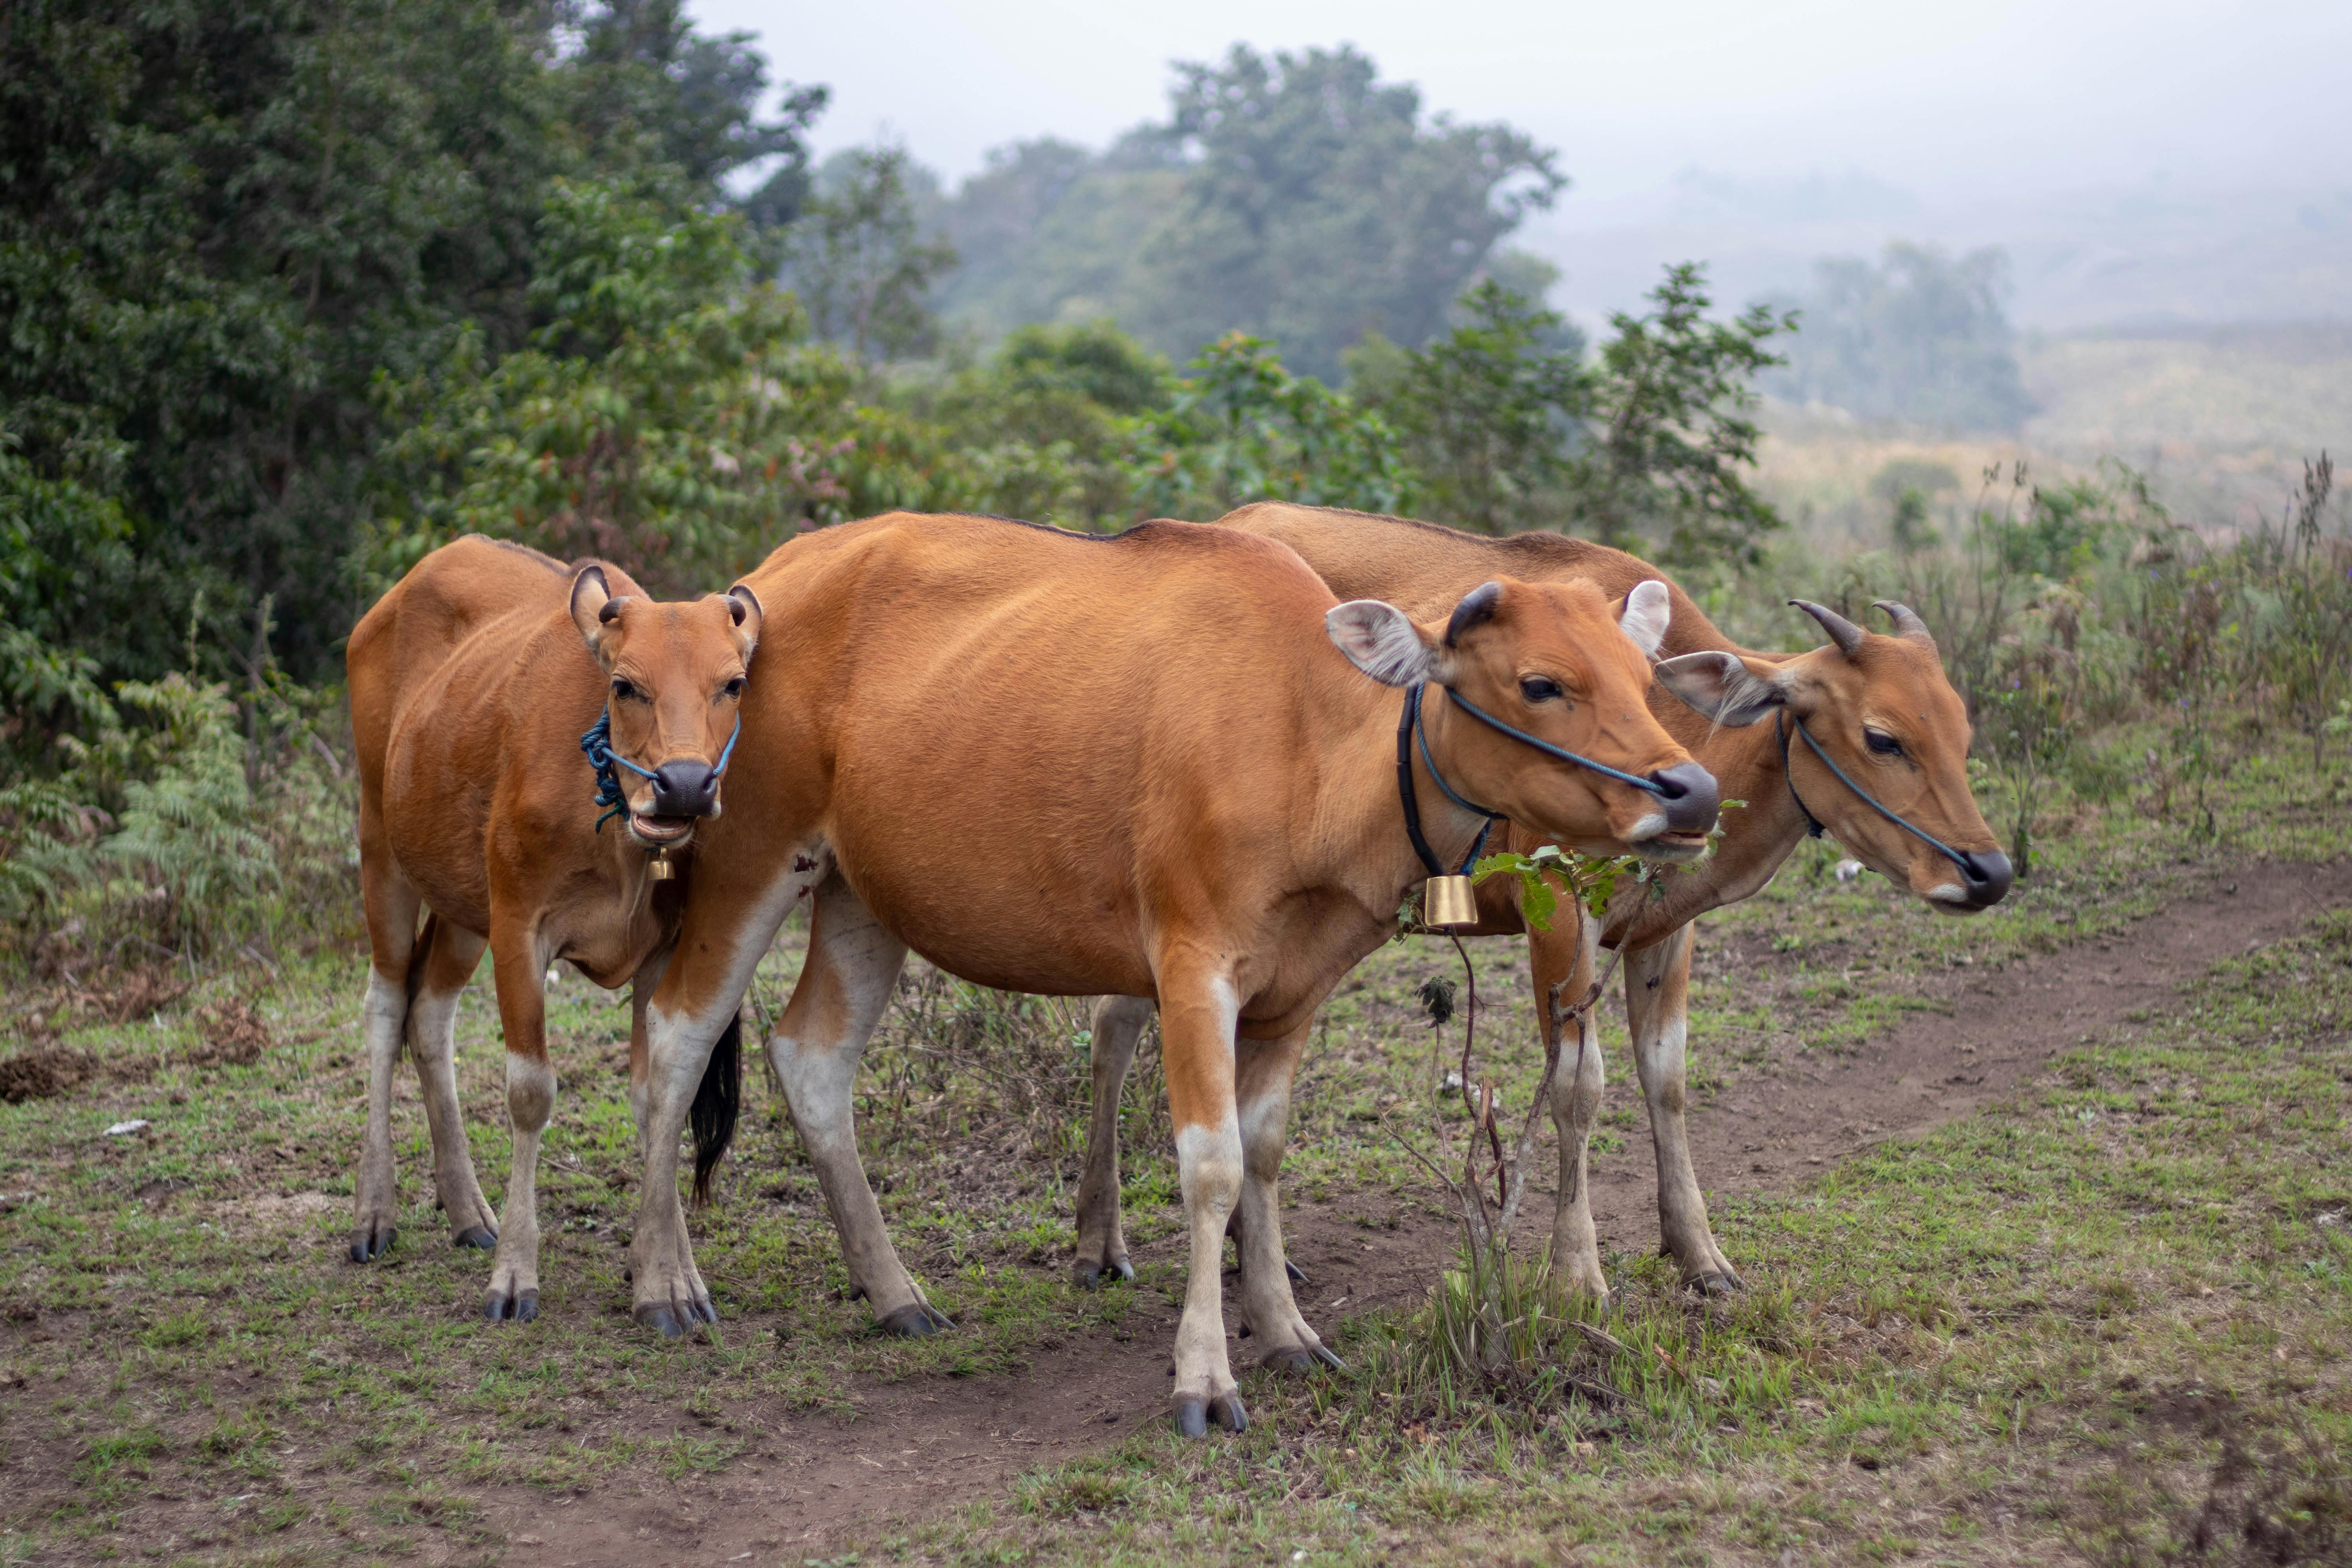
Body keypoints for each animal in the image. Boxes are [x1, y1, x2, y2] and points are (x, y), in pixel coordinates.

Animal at [346, 536, 758, 1321]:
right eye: (625, 685)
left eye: (734, 684)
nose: (685, 785)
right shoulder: (520, 927)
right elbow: (531, 1092)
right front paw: (515, 1275)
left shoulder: (663, 947)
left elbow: (658, 1099)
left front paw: (671, 1278)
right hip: (381, 846)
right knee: (384, 1007)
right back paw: (374, 1213)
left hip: (461, 905)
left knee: (428, 1012)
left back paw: (469, 1211)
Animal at [612, 510, 1728, 1435]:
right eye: (1541, 683)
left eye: (1642, 682)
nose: (1692, 789)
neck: (1304, 738)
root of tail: (755, 592)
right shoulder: (1195, 969)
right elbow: (1212, 1164)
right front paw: (1205, 1375)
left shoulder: (1296, 988)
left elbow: (1266, 1151)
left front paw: (1285, 1330)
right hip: (749, 856)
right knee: (674, 1038)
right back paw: (665, 1285)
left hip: (859, 894)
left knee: (812, 1057)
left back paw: (894, 1292)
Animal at [1073, 502, 2010, 1305]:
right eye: (1883, 737)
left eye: (1962, 730)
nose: (1989, 871)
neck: (1684, 731)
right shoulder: (1557, 910)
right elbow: (1577, 1089)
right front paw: (1577, 1275)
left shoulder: (1667, 931)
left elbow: (1667, 1078)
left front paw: (1700, 1253)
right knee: (1119, 1026)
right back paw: (1100, 1244)